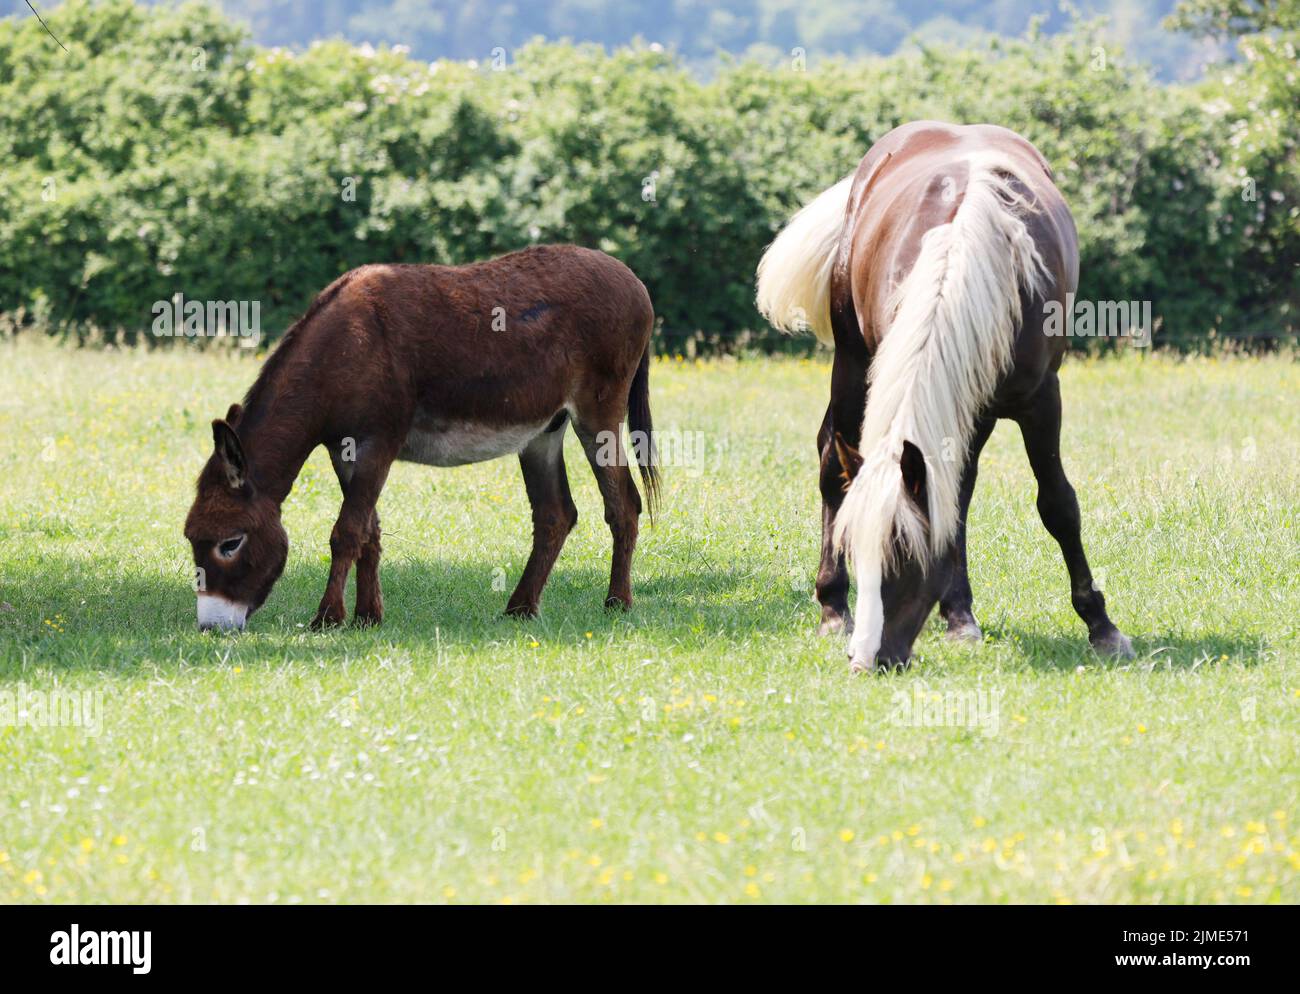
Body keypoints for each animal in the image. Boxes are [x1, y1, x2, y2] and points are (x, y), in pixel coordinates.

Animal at [183, 244, 659, 631]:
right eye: (191, 540)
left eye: (230, 543)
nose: (211, 628)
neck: (343, 349)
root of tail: (632, 278)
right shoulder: (343, 450)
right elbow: (369, 532)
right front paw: (367, 617)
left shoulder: (379, 443)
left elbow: (346, 531)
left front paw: (328, 618)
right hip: (544, 430)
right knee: (555, 515)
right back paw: (521, 608)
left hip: (597, 413)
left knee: (624, 504)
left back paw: (617, 603)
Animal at [756, 121, 1132, 672]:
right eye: (858, 550)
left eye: (903, 559)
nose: (867, 659)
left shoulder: (1041, 400)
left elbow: (1058, 505)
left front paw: (1102, 626)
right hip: (853, 362)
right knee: (831, 460)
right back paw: (834, 607)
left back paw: (959, 613)